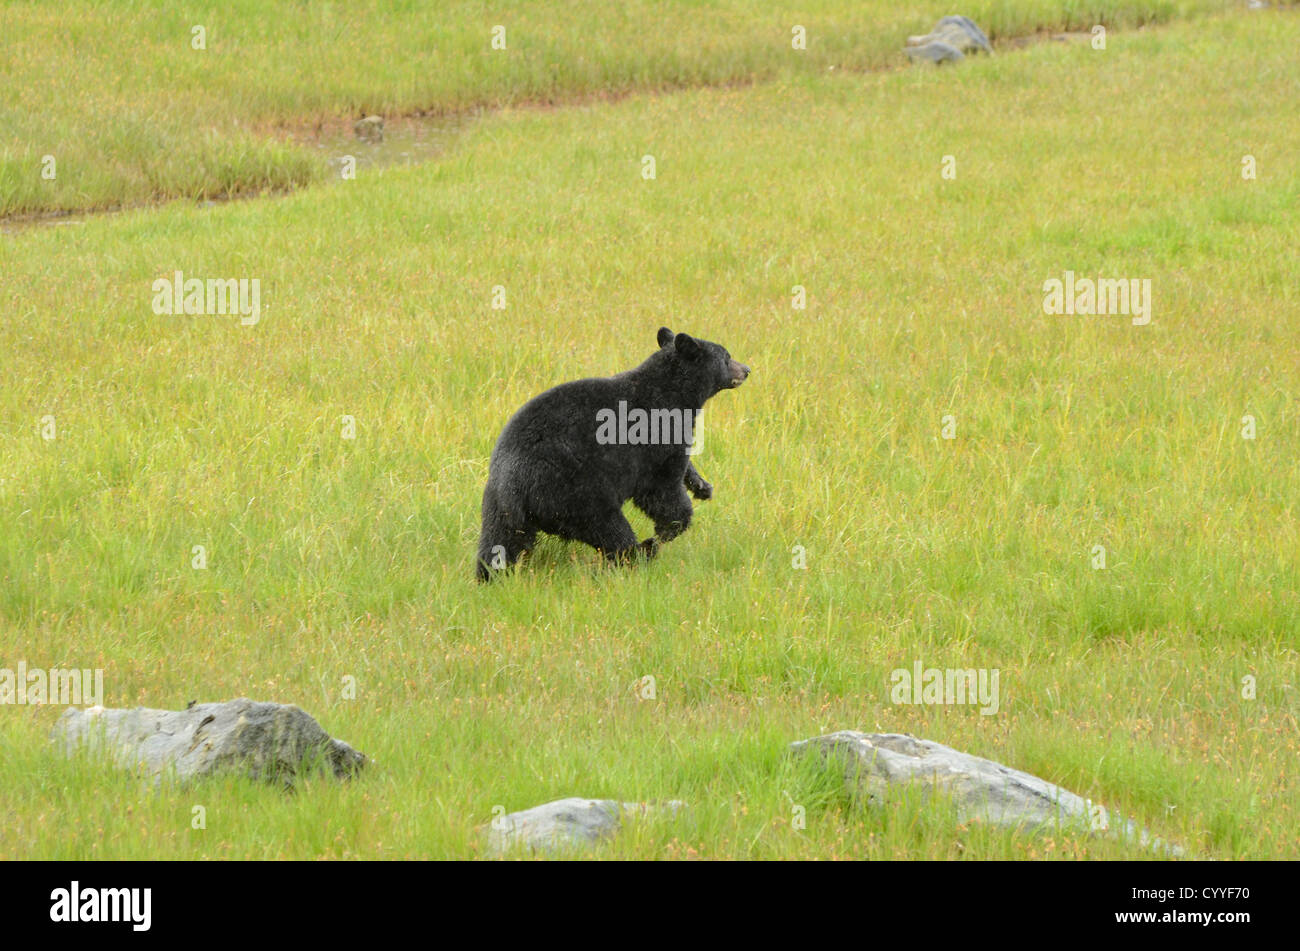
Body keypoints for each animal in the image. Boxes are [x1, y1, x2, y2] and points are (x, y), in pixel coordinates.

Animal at [476, 327, 751, 581]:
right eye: (727, 357)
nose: (747, 369)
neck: (672, 392)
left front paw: (702, 486)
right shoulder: (654, 439)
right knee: (610, 530)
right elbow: (662, 488)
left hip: (499, 509)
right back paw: (641, 551)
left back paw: (489, 576)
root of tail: (513, 484)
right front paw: (667, 528)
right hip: (577, 492)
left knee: (499, 544)